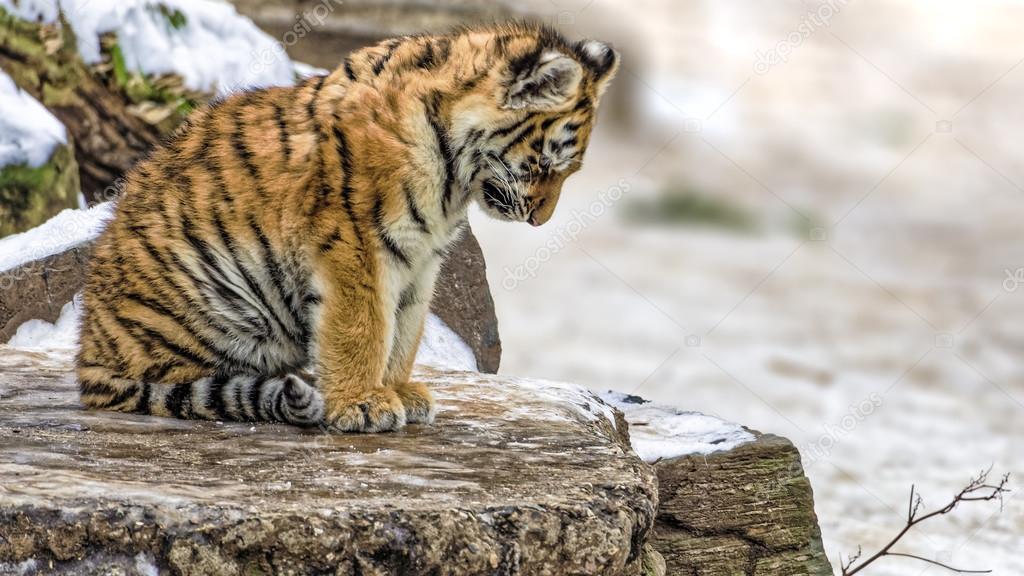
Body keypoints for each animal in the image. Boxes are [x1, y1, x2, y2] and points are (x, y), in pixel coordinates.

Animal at [75, 21, 619, 432]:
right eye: (546, 166)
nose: (540, 220)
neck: (453, 172)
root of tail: (87, 359)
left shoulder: (421, 259)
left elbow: (404, 329)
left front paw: (398, 391)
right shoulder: (356, 243)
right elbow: (364, 327)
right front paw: (362, 404)